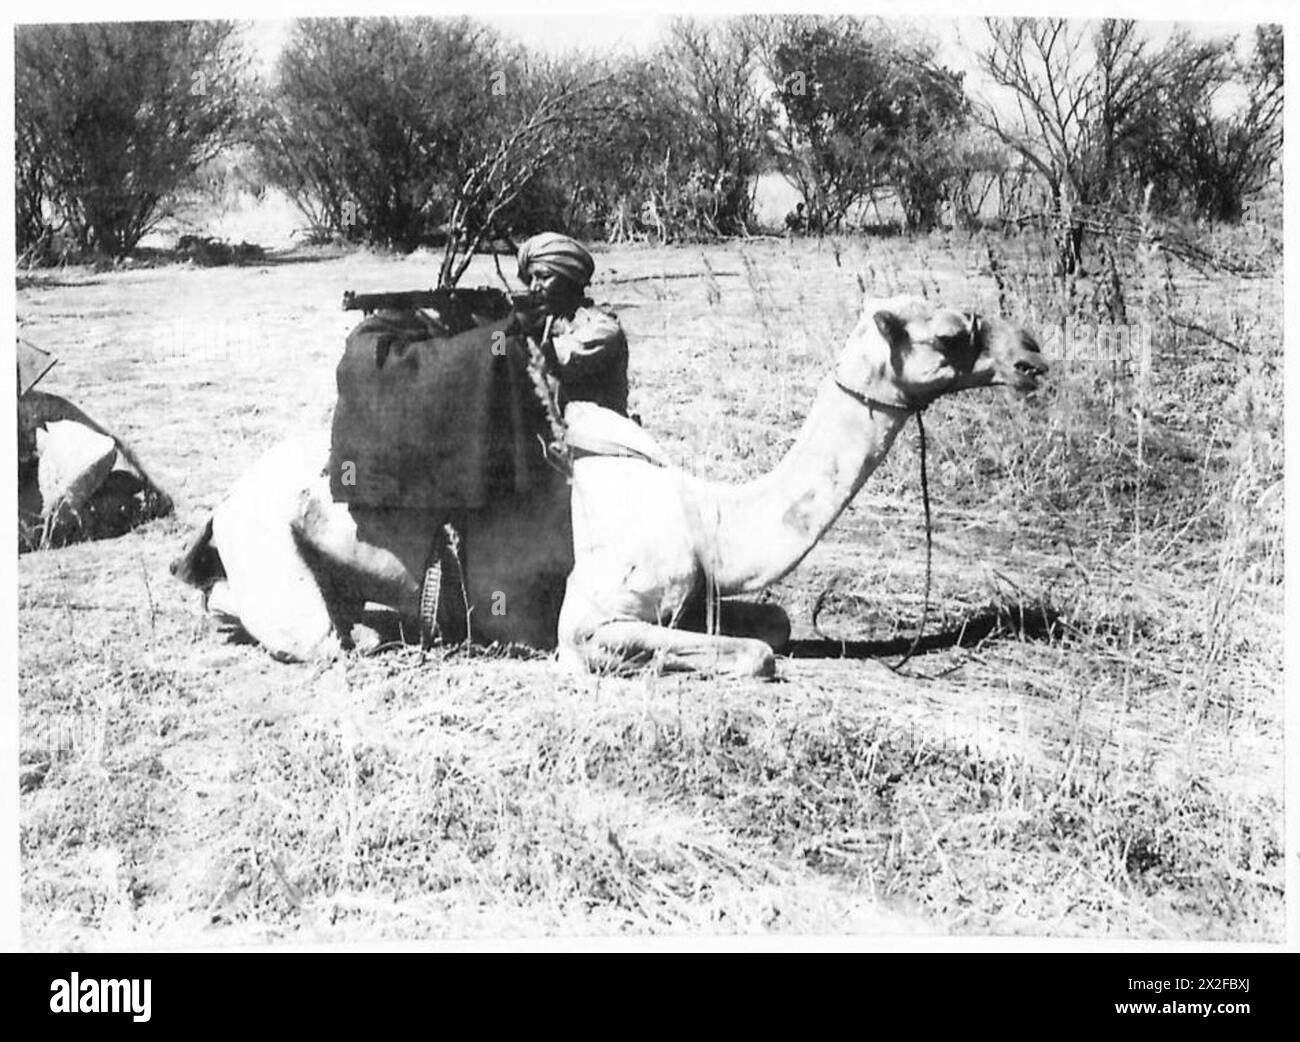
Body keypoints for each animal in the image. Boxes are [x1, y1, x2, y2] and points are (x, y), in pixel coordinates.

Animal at [171, 295, 1047, 675]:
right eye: (951, 335)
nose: (1034, 356)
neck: (706, 514)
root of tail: (223, 505)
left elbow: (775, 624)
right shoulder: (591, 617)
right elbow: (754, 656)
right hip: (270, 544)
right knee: (323, 637)